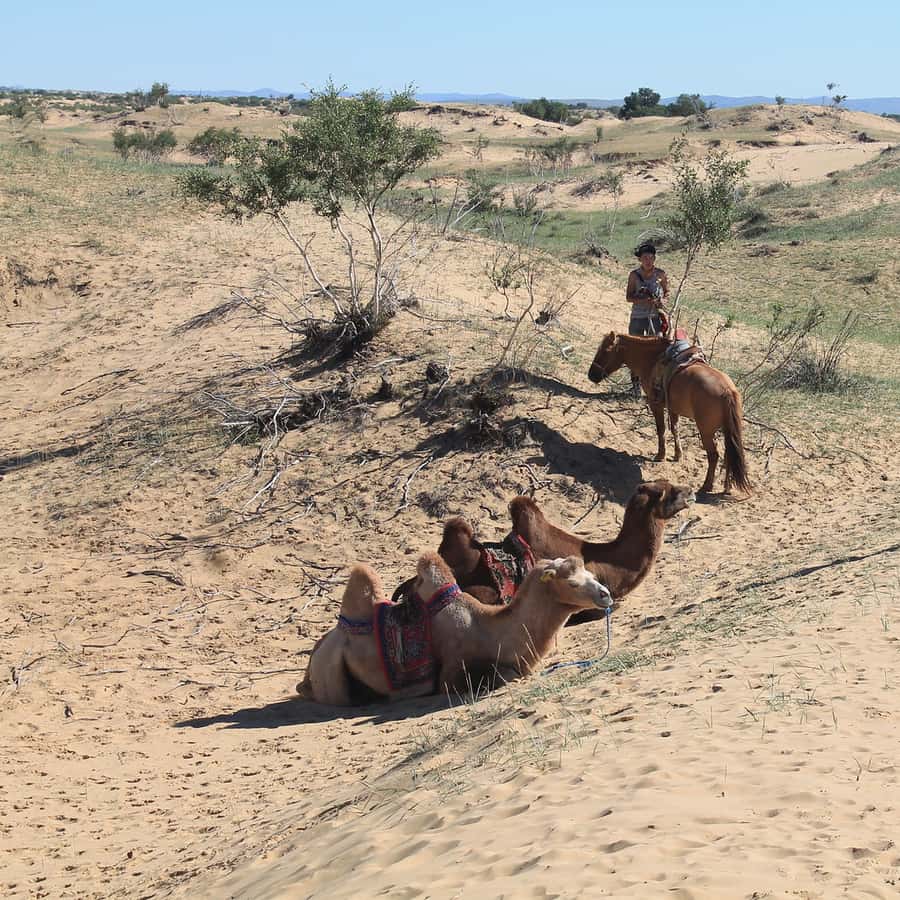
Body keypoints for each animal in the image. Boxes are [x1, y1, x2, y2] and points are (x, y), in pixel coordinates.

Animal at [298, 552, 612, 705]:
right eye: (572, 583)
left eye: (590, 573)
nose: (605, 594)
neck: (487, 629)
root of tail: (316, 652)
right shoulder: (450, 676)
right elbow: (506, 675)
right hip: (332, 675)